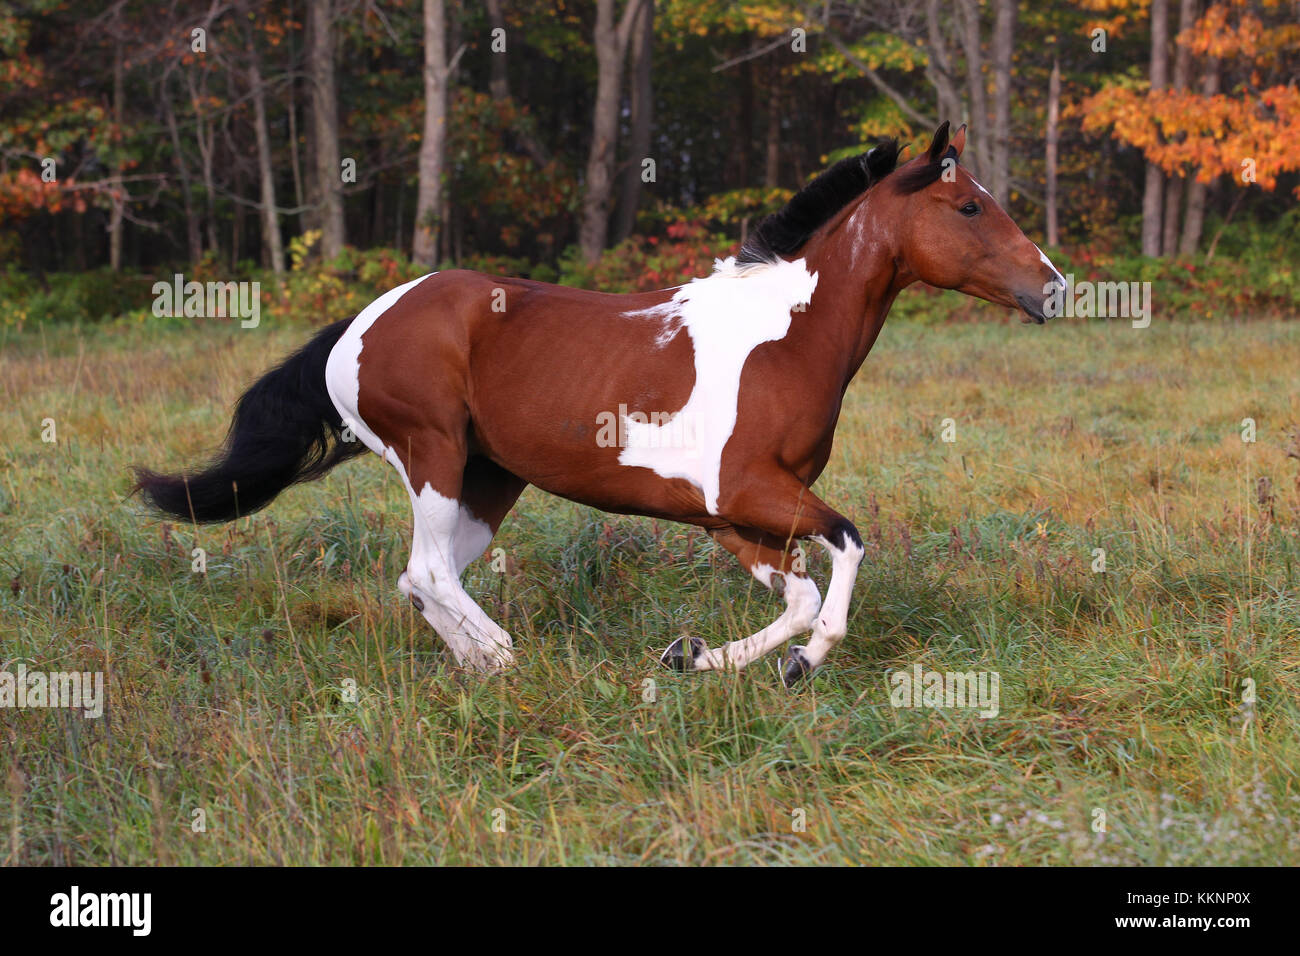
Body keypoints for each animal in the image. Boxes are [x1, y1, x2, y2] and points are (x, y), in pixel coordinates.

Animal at [135, 122, 1066, 687]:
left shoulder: (733, 518)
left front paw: (699, 657)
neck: (784, 338)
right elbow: (848, 548)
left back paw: (485, 668)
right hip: (432, 454)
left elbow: (799, 595)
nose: (1054, 289)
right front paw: (799, 663)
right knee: (428, 571)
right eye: (969, 205)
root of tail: (362, 322)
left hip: (488, 480)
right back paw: (503, 653)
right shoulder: (750, 492)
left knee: (419, 578)